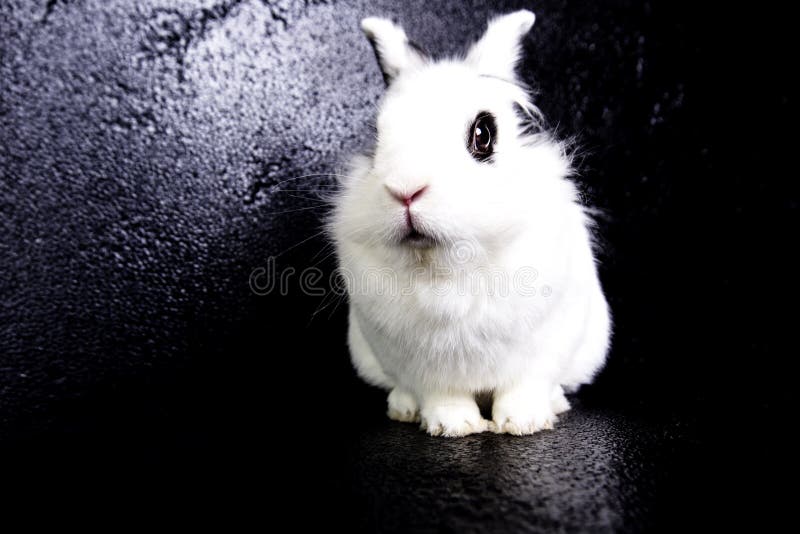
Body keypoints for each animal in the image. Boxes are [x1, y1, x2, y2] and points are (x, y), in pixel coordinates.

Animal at [329, 10, 611, 437]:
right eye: (376, 139)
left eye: (484, 133)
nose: (406, 190)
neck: (444, 269)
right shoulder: (423, 369)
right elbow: (441, 396)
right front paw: (454, 426)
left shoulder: (539, 350)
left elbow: (524, 386)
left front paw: (521, 423)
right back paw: (403, 409)